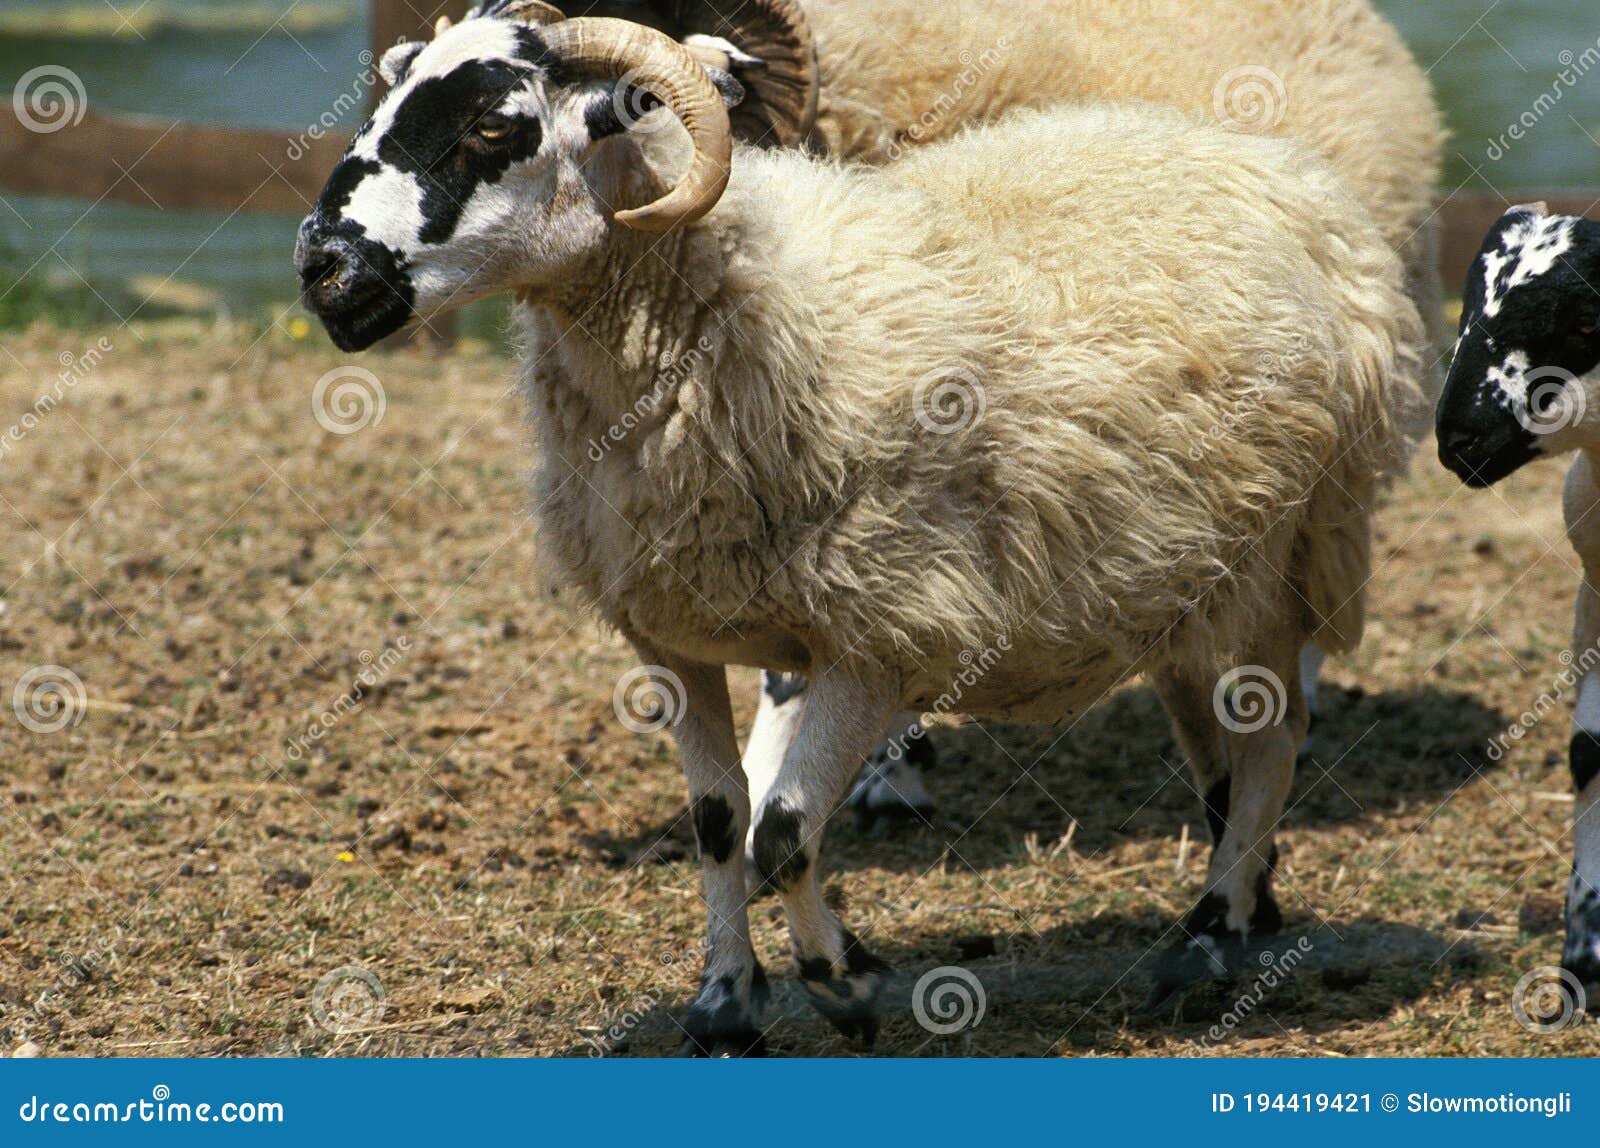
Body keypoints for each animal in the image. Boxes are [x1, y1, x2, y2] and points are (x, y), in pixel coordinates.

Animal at [294, 11, 1425, 1051]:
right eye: (389, 97)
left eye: (495, 125)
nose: (325, 268)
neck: (744, 306)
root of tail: (1291, 177)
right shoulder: (673, 637)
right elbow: (719, 827)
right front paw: (723, 1005)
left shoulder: (884, 633)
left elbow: (784, 831)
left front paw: (847, 982)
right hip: (1179, 575)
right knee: (1217, 749)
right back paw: (1244, 904)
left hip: (1290, 553)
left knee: (1273, 739)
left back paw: (1210, 939)